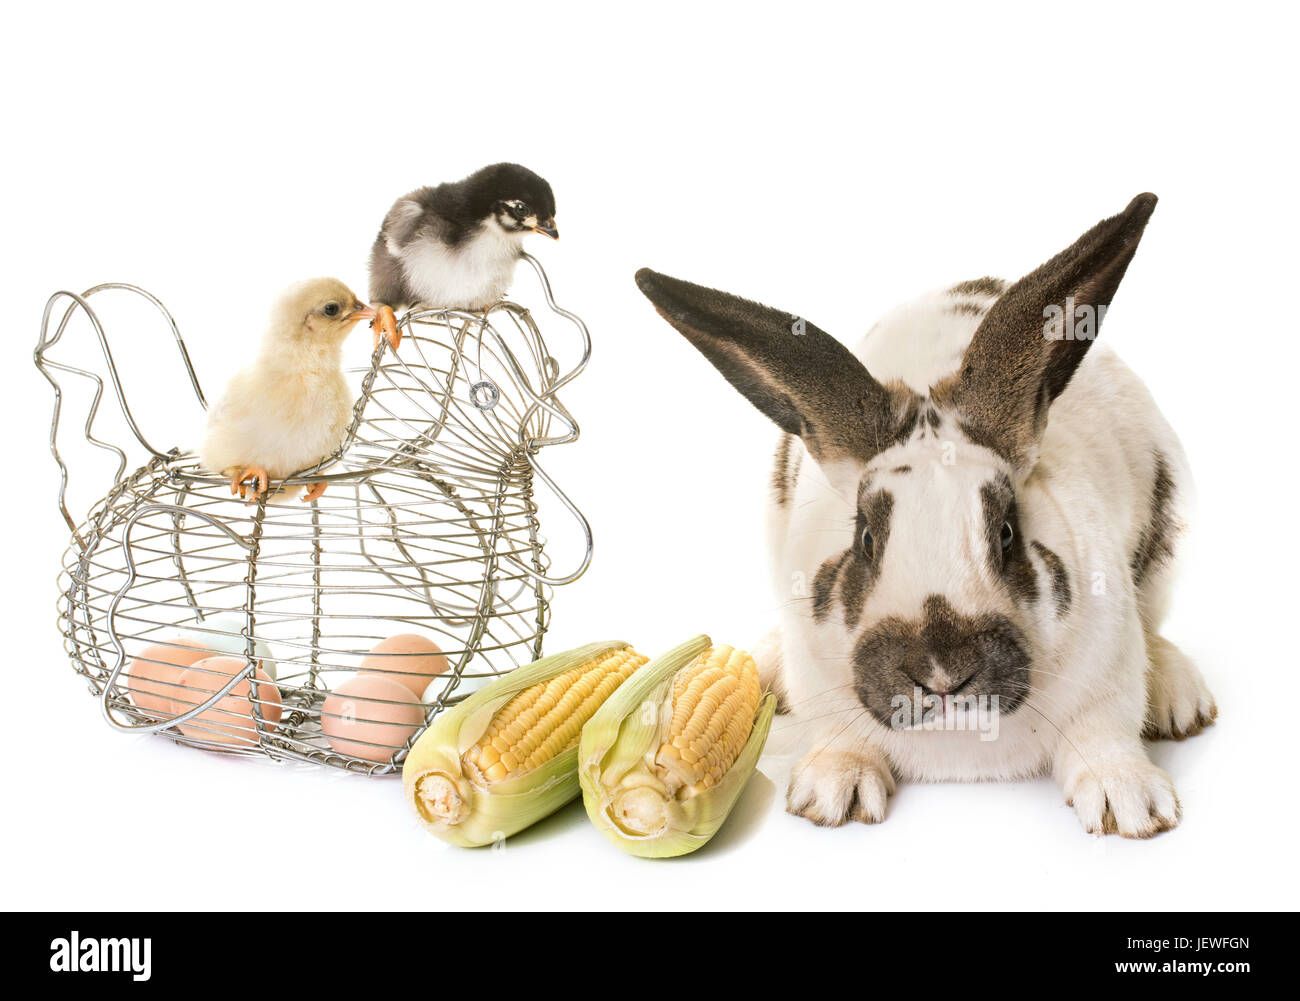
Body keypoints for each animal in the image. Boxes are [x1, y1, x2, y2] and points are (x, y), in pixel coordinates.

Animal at [634, 193, 1216, 838]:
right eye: (865, 539)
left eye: (1006, 532)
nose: (940, 675)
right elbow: (837, 737)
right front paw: (832, 792)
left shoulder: (1108, 669)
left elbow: (1104, 735)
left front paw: (1129, 803)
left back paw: (1180, 699)